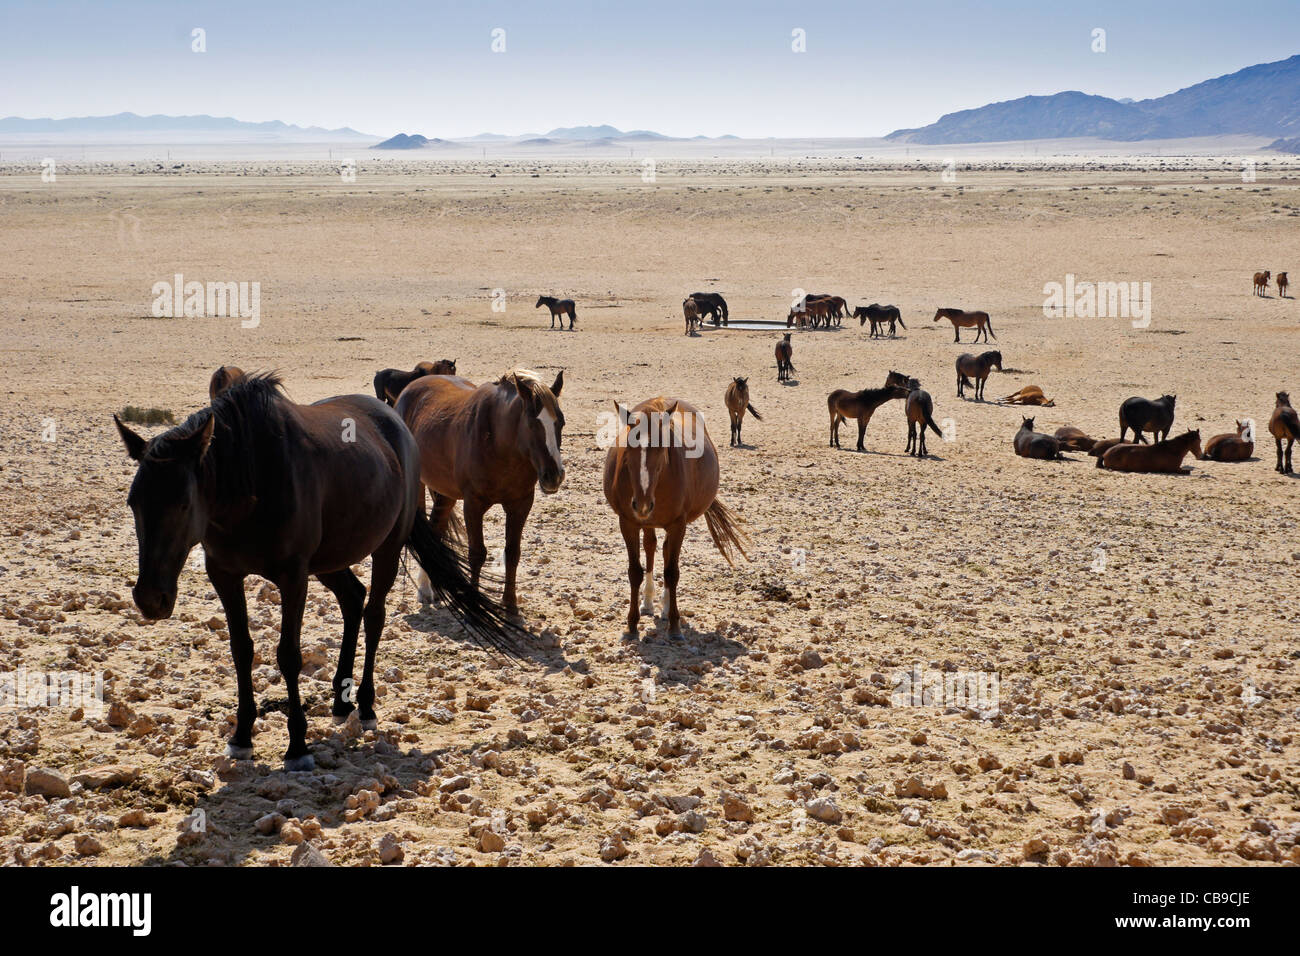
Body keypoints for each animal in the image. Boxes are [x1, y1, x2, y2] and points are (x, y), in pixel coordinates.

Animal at [113, 374, 521, 771]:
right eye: (133, 503)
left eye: (183, 503)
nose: (150, 598)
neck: (251, 482)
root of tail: (396, 422)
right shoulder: (224, 575)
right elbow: (241, 649)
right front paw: (241, 735)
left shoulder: (293, 577)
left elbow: (288, 655)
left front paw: (297, 746)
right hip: (330, 561)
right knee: (352, 599)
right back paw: (341, 700)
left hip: (386, 548)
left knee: (374, 615)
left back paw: (365, 704)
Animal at [396, 369, 566, 619]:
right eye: (532, 423)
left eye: (560, 422)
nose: (554, 475)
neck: (498, 441)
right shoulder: (473, 504)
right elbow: (477, 554)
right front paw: (474, 604)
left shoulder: (520, 504)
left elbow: (512, 553)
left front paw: (510, 604)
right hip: (419, 485)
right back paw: (425, 590)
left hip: (446, 493)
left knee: (437, 529)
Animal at [603, 397, 747, 639]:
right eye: (628, 447)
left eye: (662, 448)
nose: (642, 504)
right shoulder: (628, 522)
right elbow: (635, 572)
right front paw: (631, 625)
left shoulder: (678, 525)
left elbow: (672, 573)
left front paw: (674, 625)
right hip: (647, 522)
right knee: (651, 547)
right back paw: (648, 602)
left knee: (665, 551)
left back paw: (665, 606)